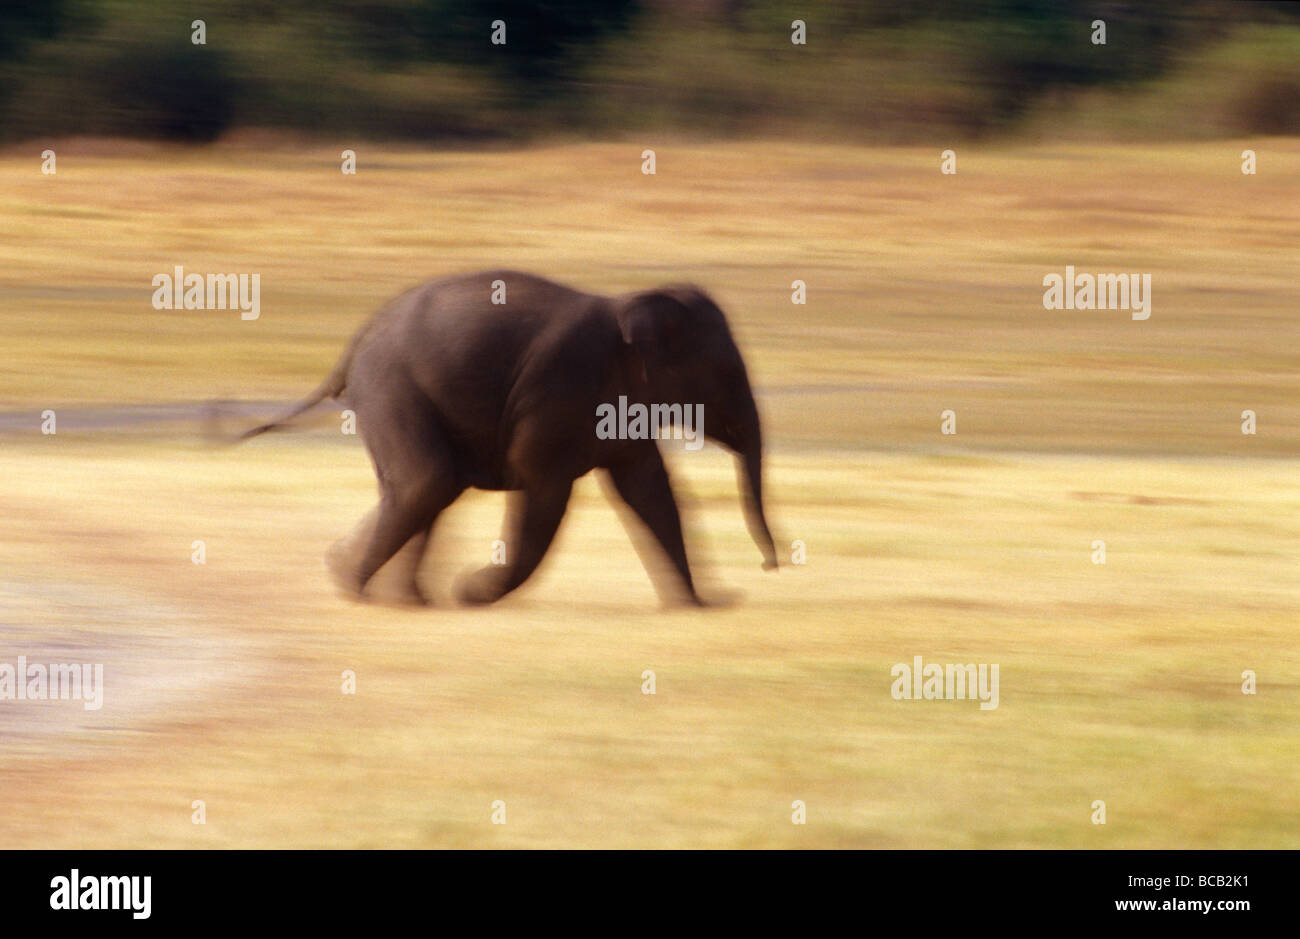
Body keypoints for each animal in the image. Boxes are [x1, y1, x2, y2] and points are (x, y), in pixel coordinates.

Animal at [238, 269, 778, 606]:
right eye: (729, 374)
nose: (769, 569)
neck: (633, 302)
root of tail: (354, 346)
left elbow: (650, 491)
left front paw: (700, 607)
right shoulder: (560, 391)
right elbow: (544, 489)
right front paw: (471, 592)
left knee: (429, 487)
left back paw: (385, 591)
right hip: (391, 388)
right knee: (427, 482)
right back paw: (358, 588)